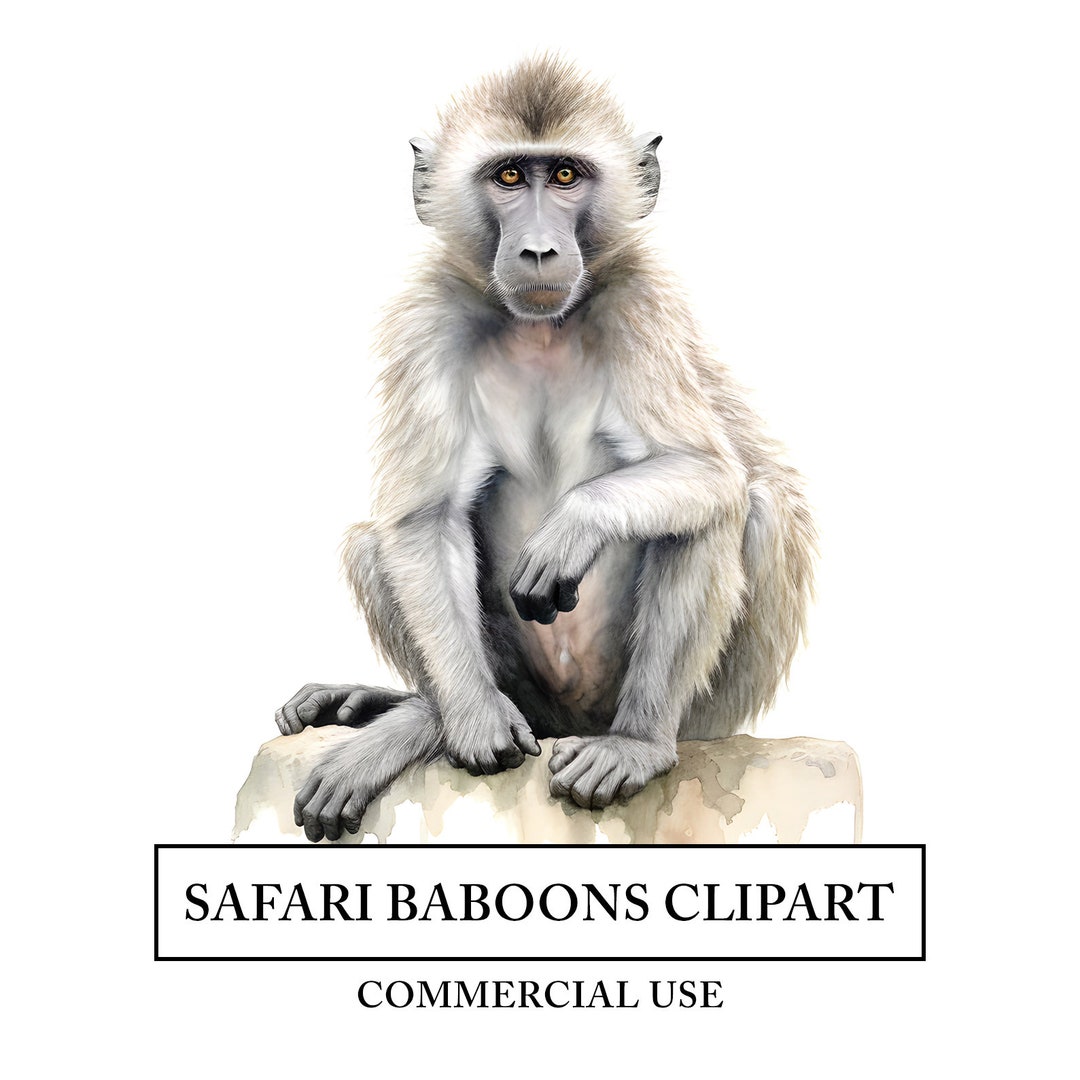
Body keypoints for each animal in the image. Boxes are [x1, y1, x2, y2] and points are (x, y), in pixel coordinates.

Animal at [274, 56, 815, 843]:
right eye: (508, 177)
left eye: (564, 175)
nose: (537, 250)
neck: (540, 330)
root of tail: (565, 721)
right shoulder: (428, 316)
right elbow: (422, 519)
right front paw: (469, 718)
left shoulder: (641, 304)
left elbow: (707, 473)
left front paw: (576, 524)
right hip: (529, 694)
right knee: (375, 541)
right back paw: (420, 716)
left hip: (707, 708)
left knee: (723, 511)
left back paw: (635, 744)